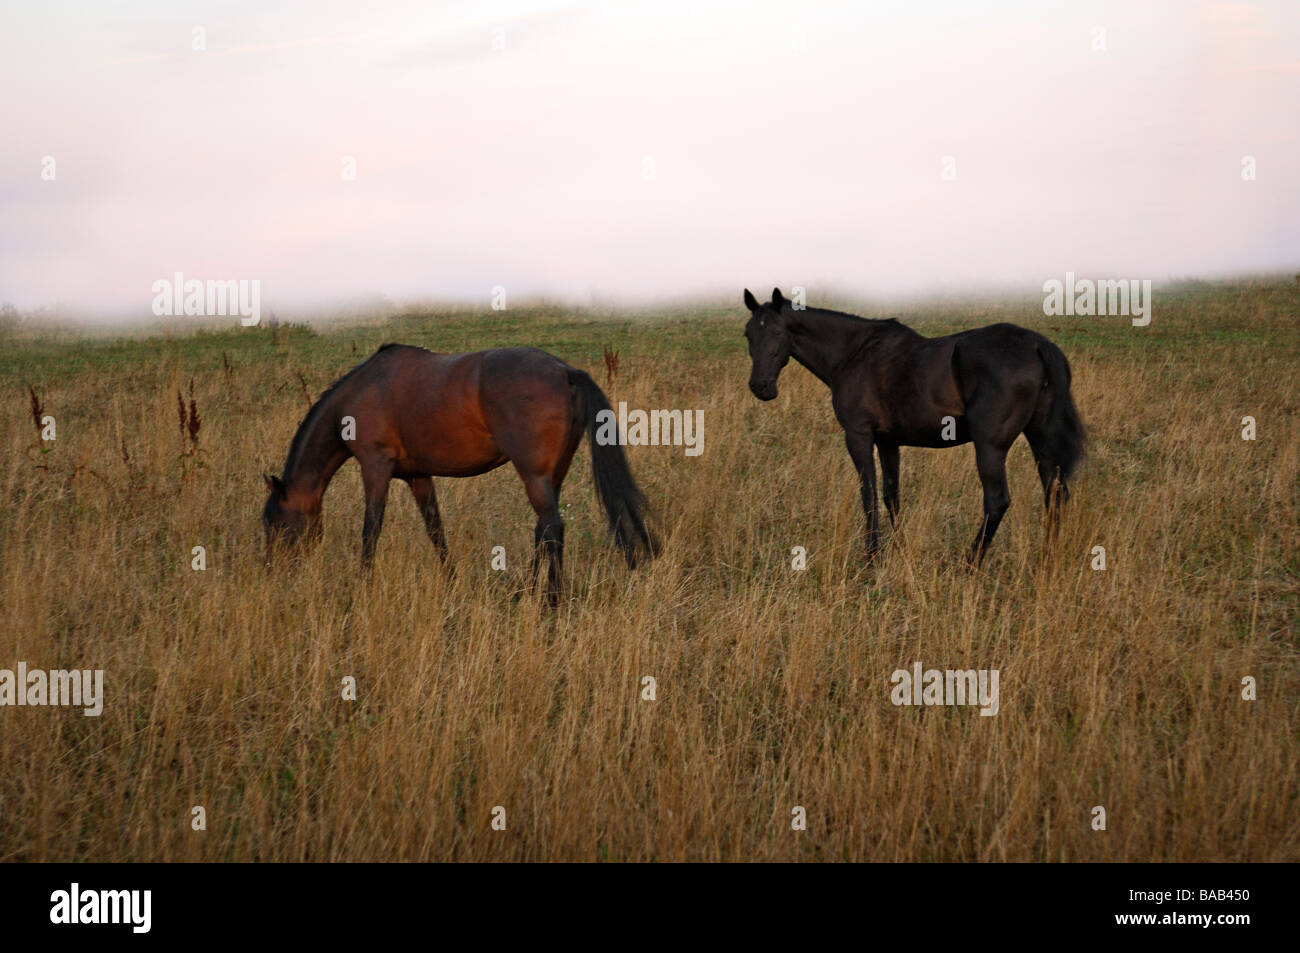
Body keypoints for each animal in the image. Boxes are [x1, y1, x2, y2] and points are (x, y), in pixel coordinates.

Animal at [261, 343, 659, 602]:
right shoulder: (417, 476)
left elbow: (371, 530)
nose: (272, 573)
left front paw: (363, 586)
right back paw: (530, 590)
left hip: (533, 475)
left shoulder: (375, 467)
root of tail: (565, 372)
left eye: (277, 524)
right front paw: (451, 582)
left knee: (553, 528)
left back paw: (552, 599)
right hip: (553, 473)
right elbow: (435, 529)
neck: (360, 393)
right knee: (543, 528)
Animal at [742, 288, 1084, 565]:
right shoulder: (888, 441)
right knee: (1055, 494)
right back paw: (1047, 559)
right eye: (748, 333)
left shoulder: (858, 435)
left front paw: (872, 557)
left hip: (990, 447)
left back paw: (970, 564)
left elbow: (868, 495)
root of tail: (1037, 345)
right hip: (1039, 438)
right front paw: (899, 549)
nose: (761, 387)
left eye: (778, 332)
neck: (854, 353)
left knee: (997, 501)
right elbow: (891, 495)